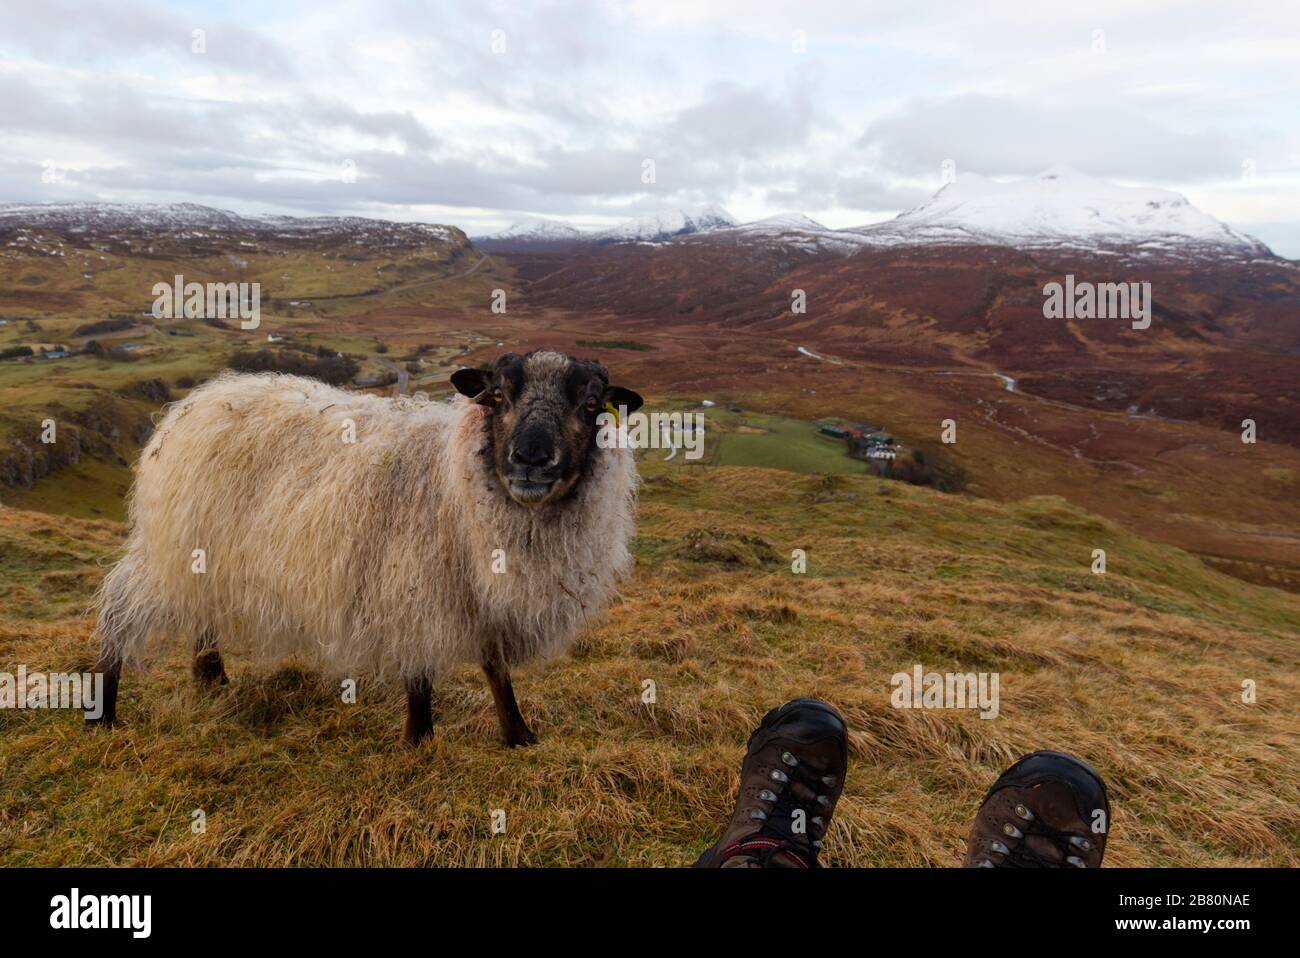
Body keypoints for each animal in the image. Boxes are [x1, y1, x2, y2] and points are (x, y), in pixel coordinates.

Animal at [88, 350, 643, 746]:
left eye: (591, 405)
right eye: (498, 397)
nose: (530, 459)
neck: (454, 476)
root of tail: (197, 400)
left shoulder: (474, 593)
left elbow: (494, 665)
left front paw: (517, 734)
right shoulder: (413, 579)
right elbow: (421, 668)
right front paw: (419, 738)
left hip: (203, 557)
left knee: (201, 614)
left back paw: (211, 678)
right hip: (172, 545)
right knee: (120, 608)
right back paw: (105, 709)